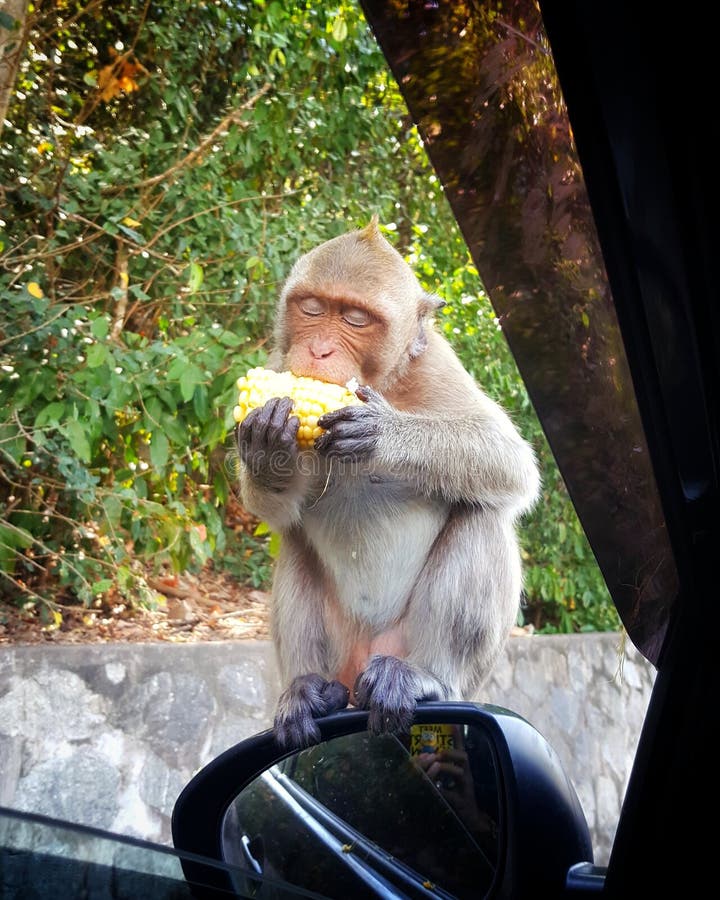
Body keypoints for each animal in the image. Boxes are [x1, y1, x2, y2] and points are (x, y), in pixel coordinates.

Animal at [236, 217, 540, 748]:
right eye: (311, 308)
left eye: (356, 318)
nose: (318, 350)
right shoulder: (276, 364)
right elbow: (276, 510)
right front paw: (266, 444)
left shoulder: (437, 365)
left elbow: (509, 459)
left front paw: (383, 432)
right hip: (342, 648)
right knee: (294, 545)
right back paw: (307, 690)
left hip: (421, 653)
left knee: (483, 516)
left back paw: (425, 677)